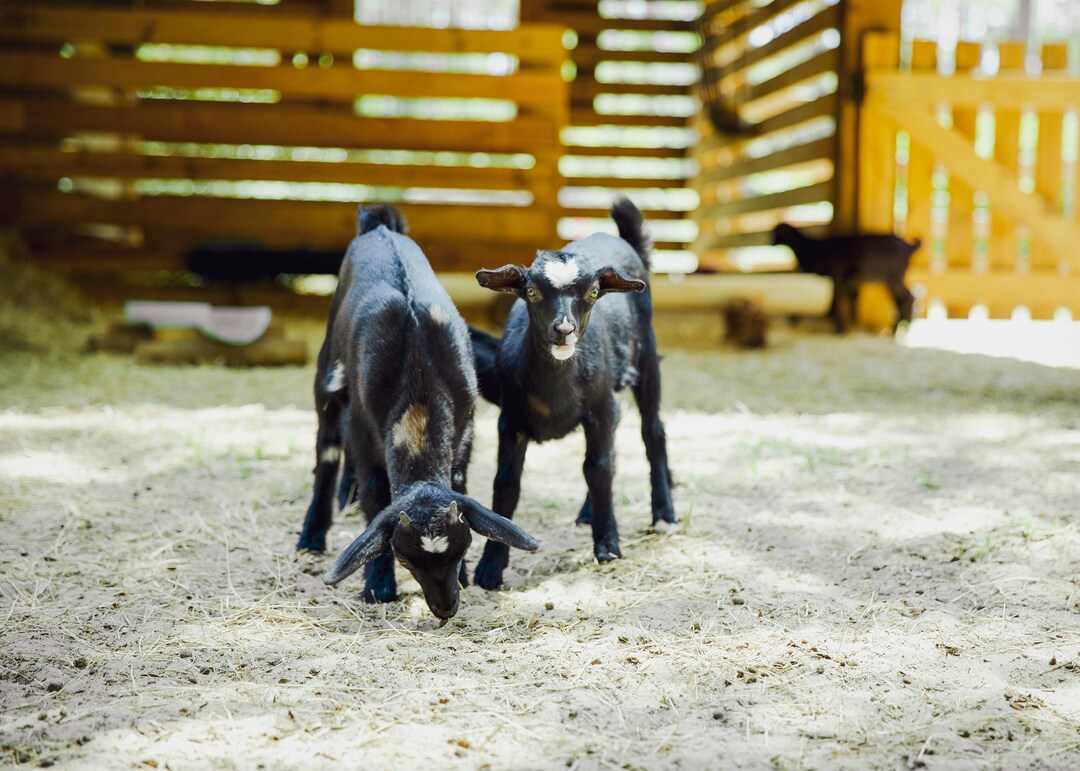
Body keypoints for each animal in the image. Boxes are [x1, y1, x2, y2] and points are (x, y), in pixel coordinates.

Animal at [297, 204, 538, 619]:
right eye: (406, 559)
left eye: (464, 546)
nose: (446, 608)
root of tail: (379, 226)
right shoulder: (362, 427)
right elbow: (375, 496)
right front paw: (378, 585)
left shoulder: (466, 427)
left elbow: (458, 482)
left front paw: (464, 578)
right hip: (328, 370)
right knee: (326, 448)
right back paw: (313, 533)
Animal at [472, 198, 675, 589]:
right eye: (531, 292)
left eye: (593, 293)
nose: (563, 330)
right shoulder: (510, 420)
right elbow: (505, 485)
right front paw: (489, 567)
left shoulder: (600, 407)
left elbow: (598, 469)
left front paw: (608, 544)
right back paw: (588, 511)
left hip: (647, 359)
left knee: (652, 432)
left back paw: (663, 513)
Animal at [772, 223, 920, 334]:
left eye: (777, 233)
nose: (771, 243)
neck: (813, 249)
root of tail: (909, 247)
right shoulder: (846, 282)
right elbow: (849, 302)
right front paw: (851, 327)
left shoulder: (837, 277)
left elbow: (835, 302)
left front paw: (840, 329)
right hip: (890, 279)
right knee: (899, 299)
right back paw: (898, 329)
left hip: (894, 277)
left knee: (908, 296)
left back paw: (901, 329)